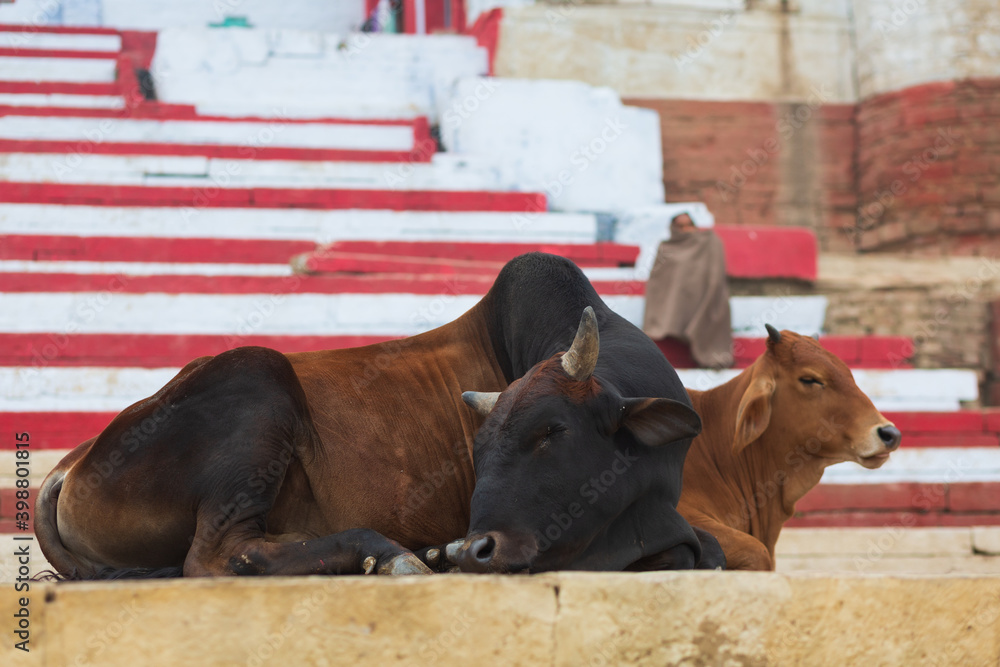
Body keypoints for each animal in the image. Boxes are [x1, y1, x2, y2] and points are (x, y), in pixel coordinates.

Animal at [35, 252, 721, 578]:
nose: (479, 546)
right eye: (478, 450)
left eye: (553, 431)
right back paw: (389, 554)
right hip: (256, 377)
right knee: (218, 557)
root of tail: (75, 461)